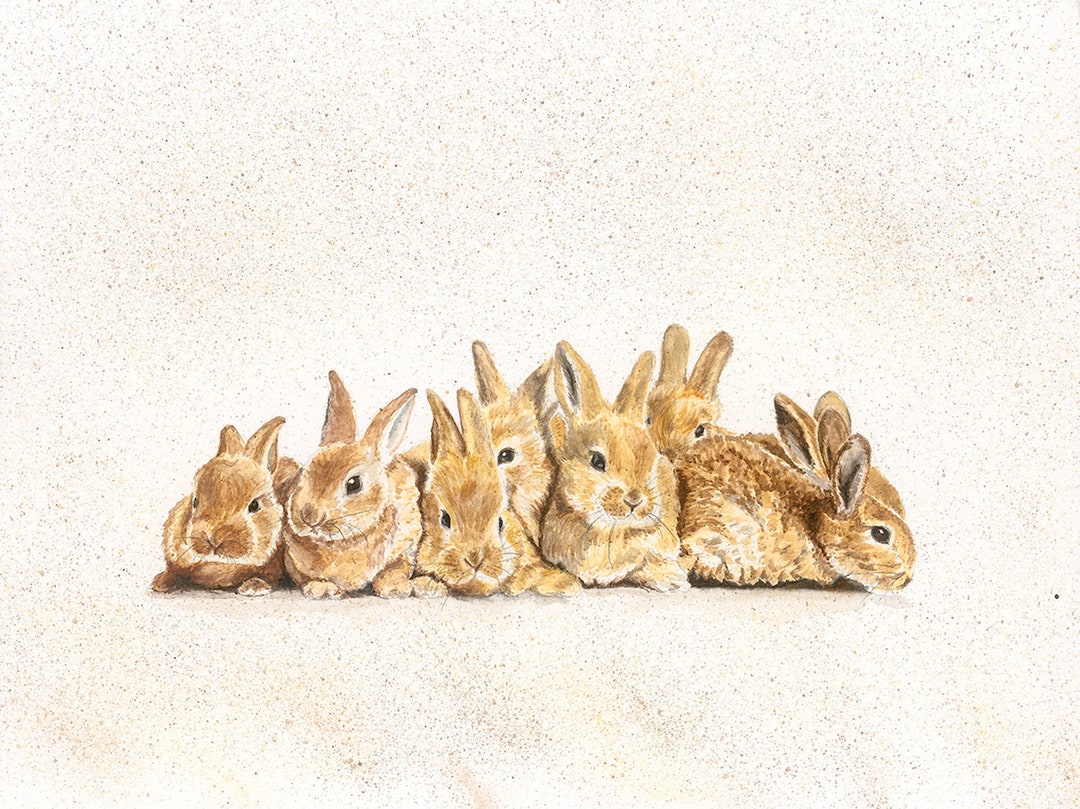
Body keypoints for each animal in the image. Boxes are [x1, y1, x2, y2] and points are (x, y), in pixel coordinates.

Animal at [153, 417, 287, 596]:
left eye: (254, 505)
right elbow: (172, 570)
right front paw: (159, 582)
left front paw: (253, 587)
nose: (214, 540)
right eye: (195, 501)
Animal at [278, 371, 422, 599]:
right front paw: (322, 589)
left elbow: (395, 568)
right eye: (306, 470)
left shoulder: (405, 548)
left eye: (354, 484)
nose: (309, 516)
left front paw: (395, 588)